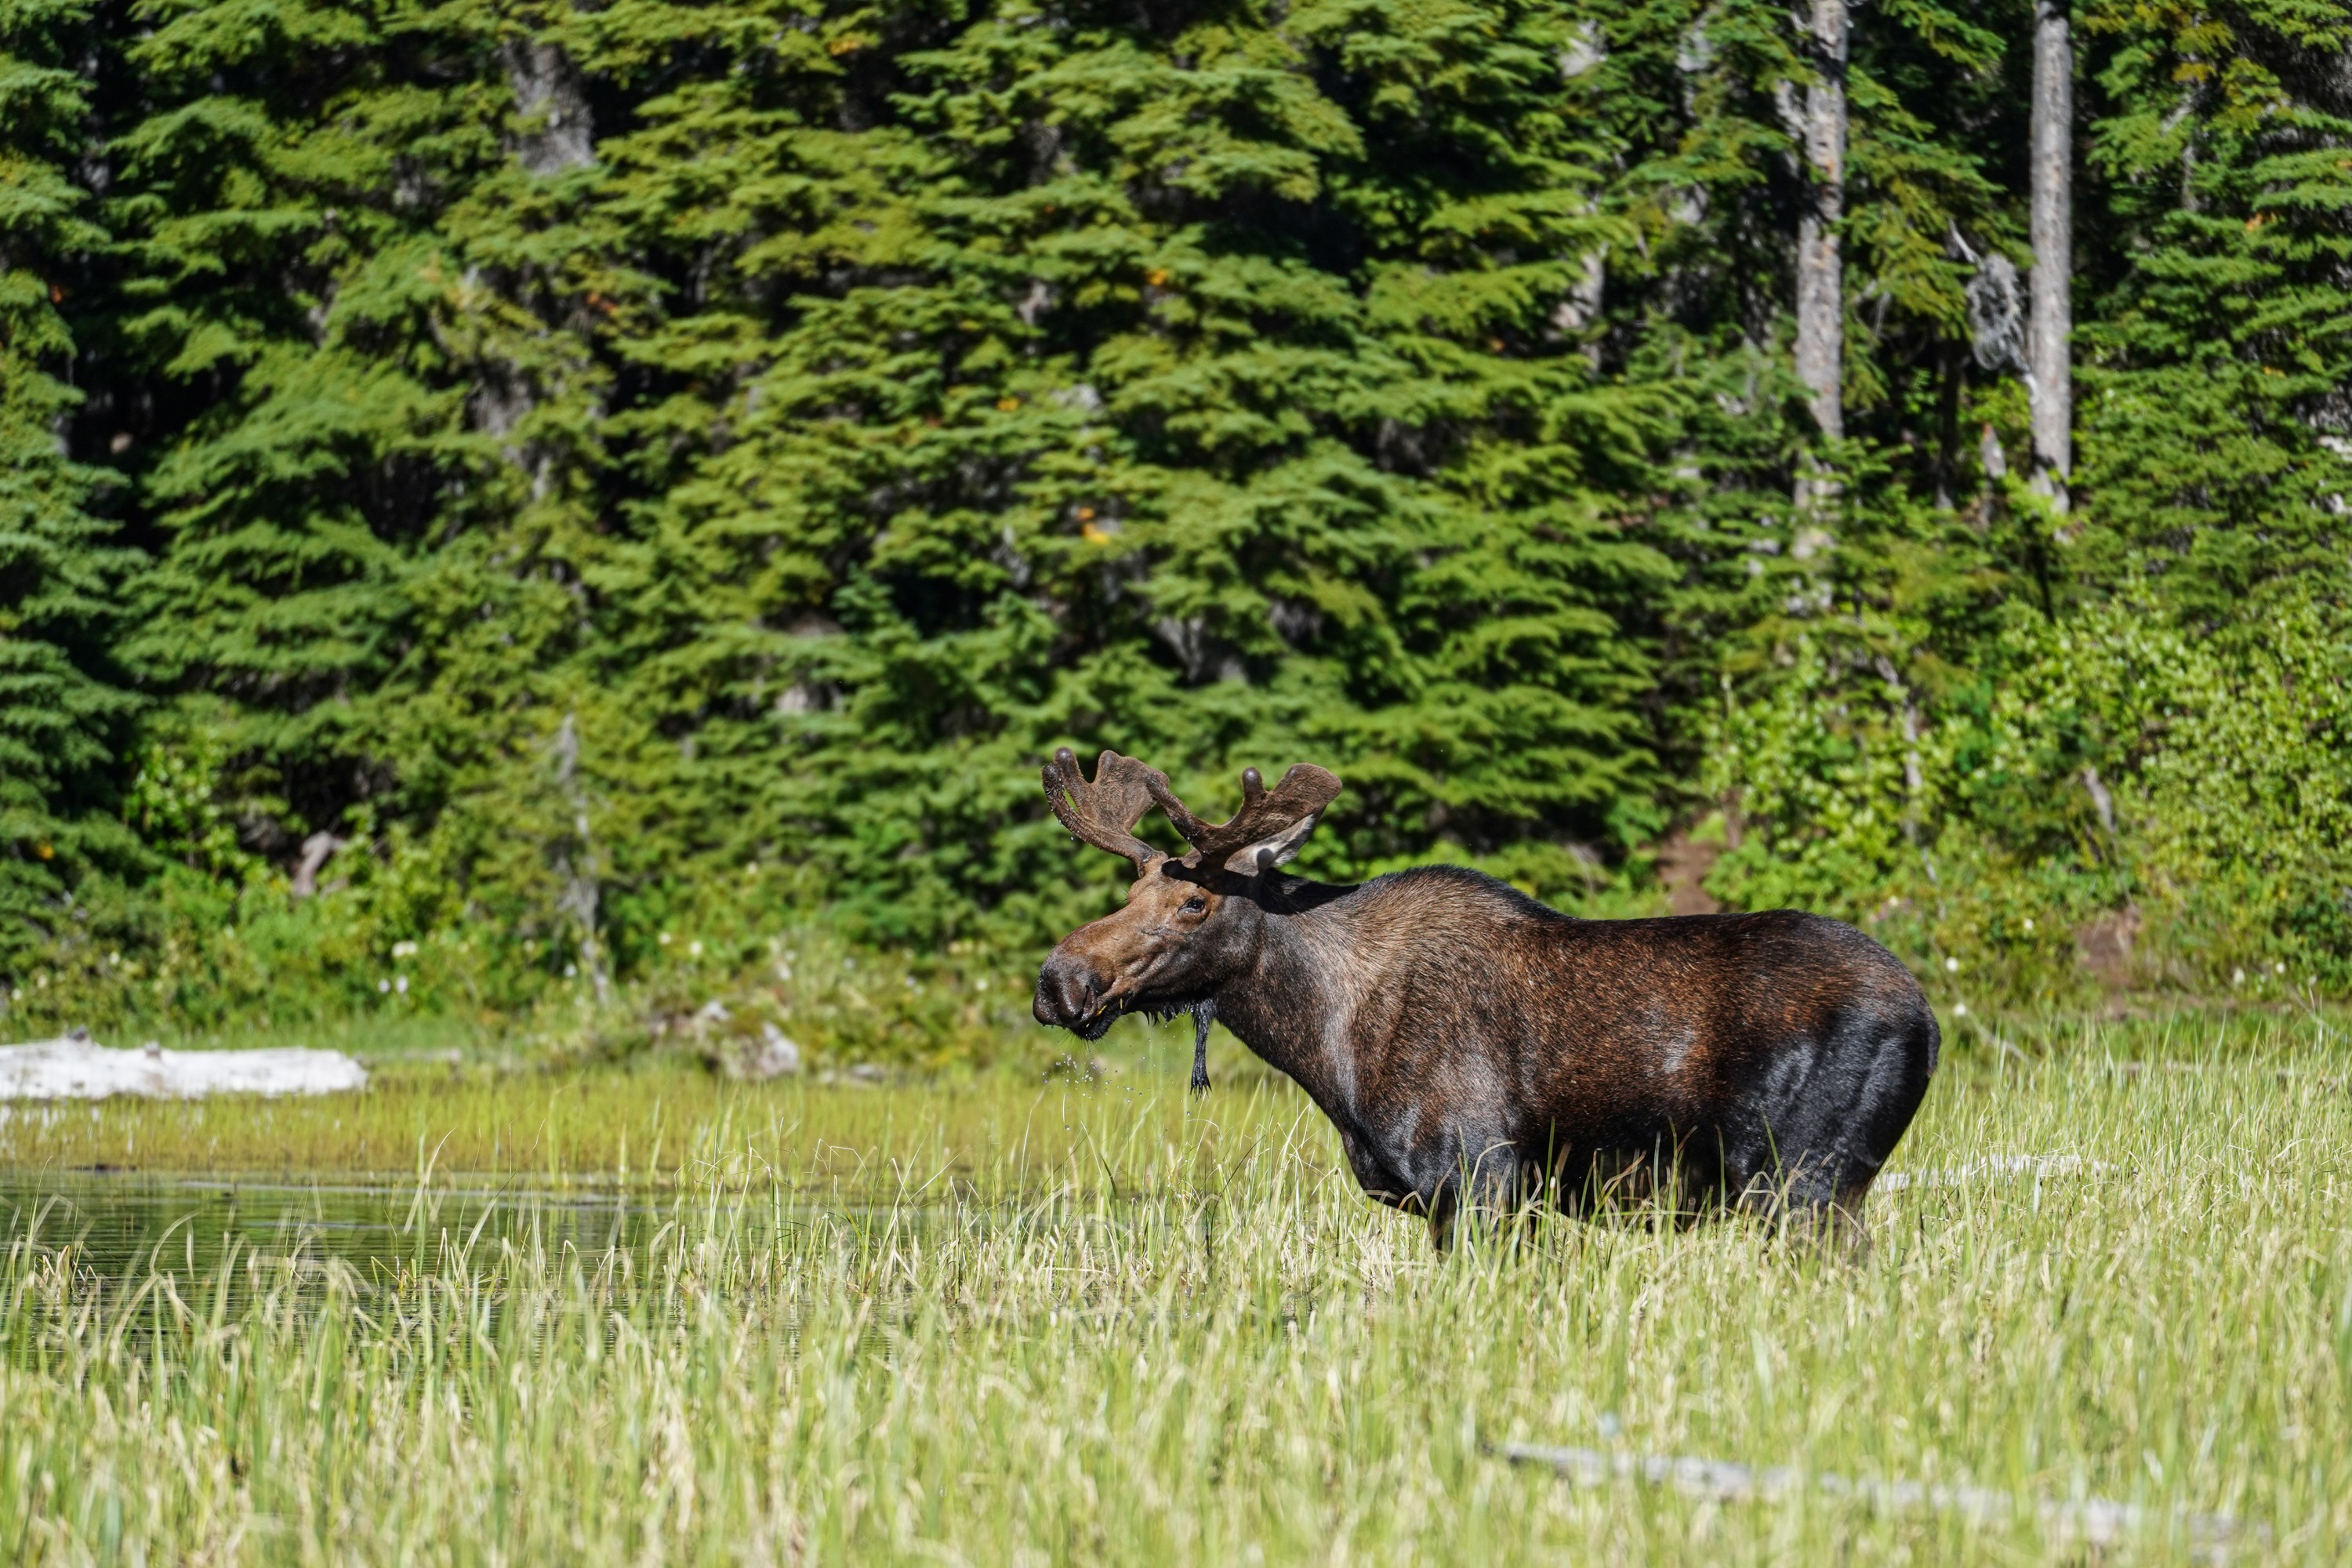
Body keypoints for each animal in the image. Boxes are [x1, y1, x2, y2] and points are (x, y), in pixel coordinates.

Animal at [1032, 749, 1939, 1251]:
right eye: (1130, 888)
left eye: (1194, 901)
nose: (1058, 980)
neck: (1326, 1047)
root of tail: (1927, 1021)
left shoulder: (1483, 1178)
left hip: (1806, 1183)